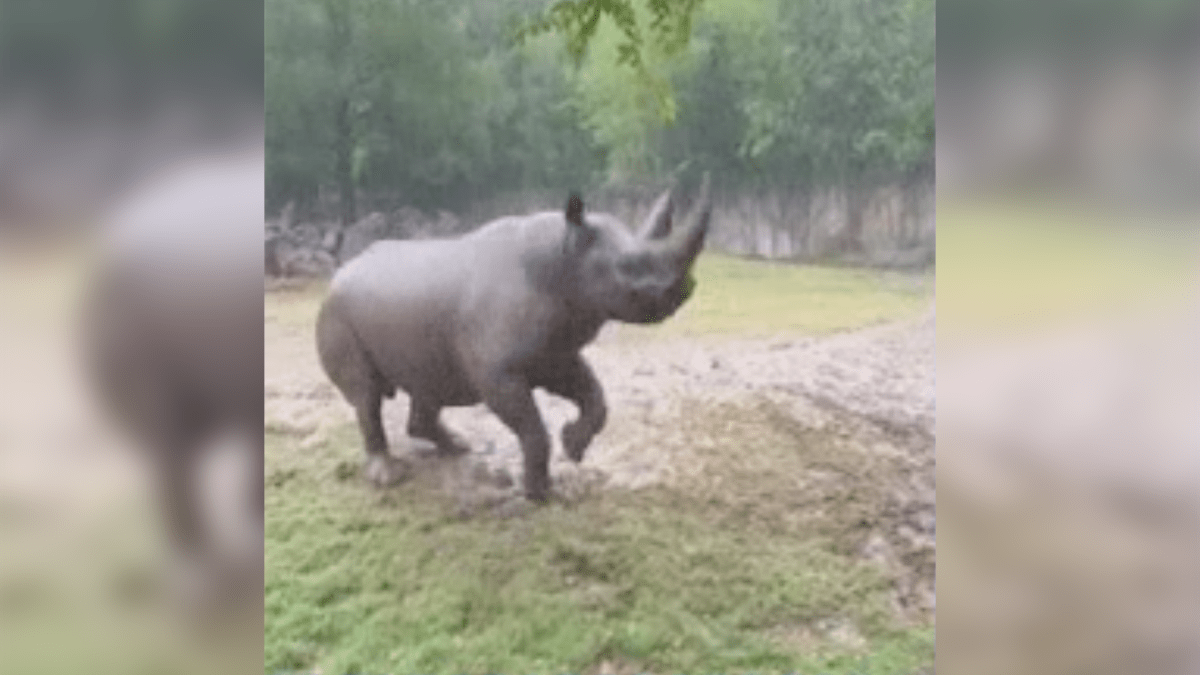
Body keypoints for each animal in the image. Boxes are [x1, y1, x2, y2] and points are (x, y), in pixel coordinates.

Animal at [316, 179, 711, 501]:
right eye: (628, 270)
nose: (687, 289)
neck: (563, 258)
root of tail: (339, 272)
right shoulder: (499, 372)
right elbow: (533, 430)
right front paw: (540, 493)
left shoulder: (556, 352)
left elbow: (595, 398)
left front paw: (573, 447)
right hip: (337, 313)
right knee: (366, 395)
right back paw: (389, 476)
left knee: (428, 382)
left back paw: (458, 446)